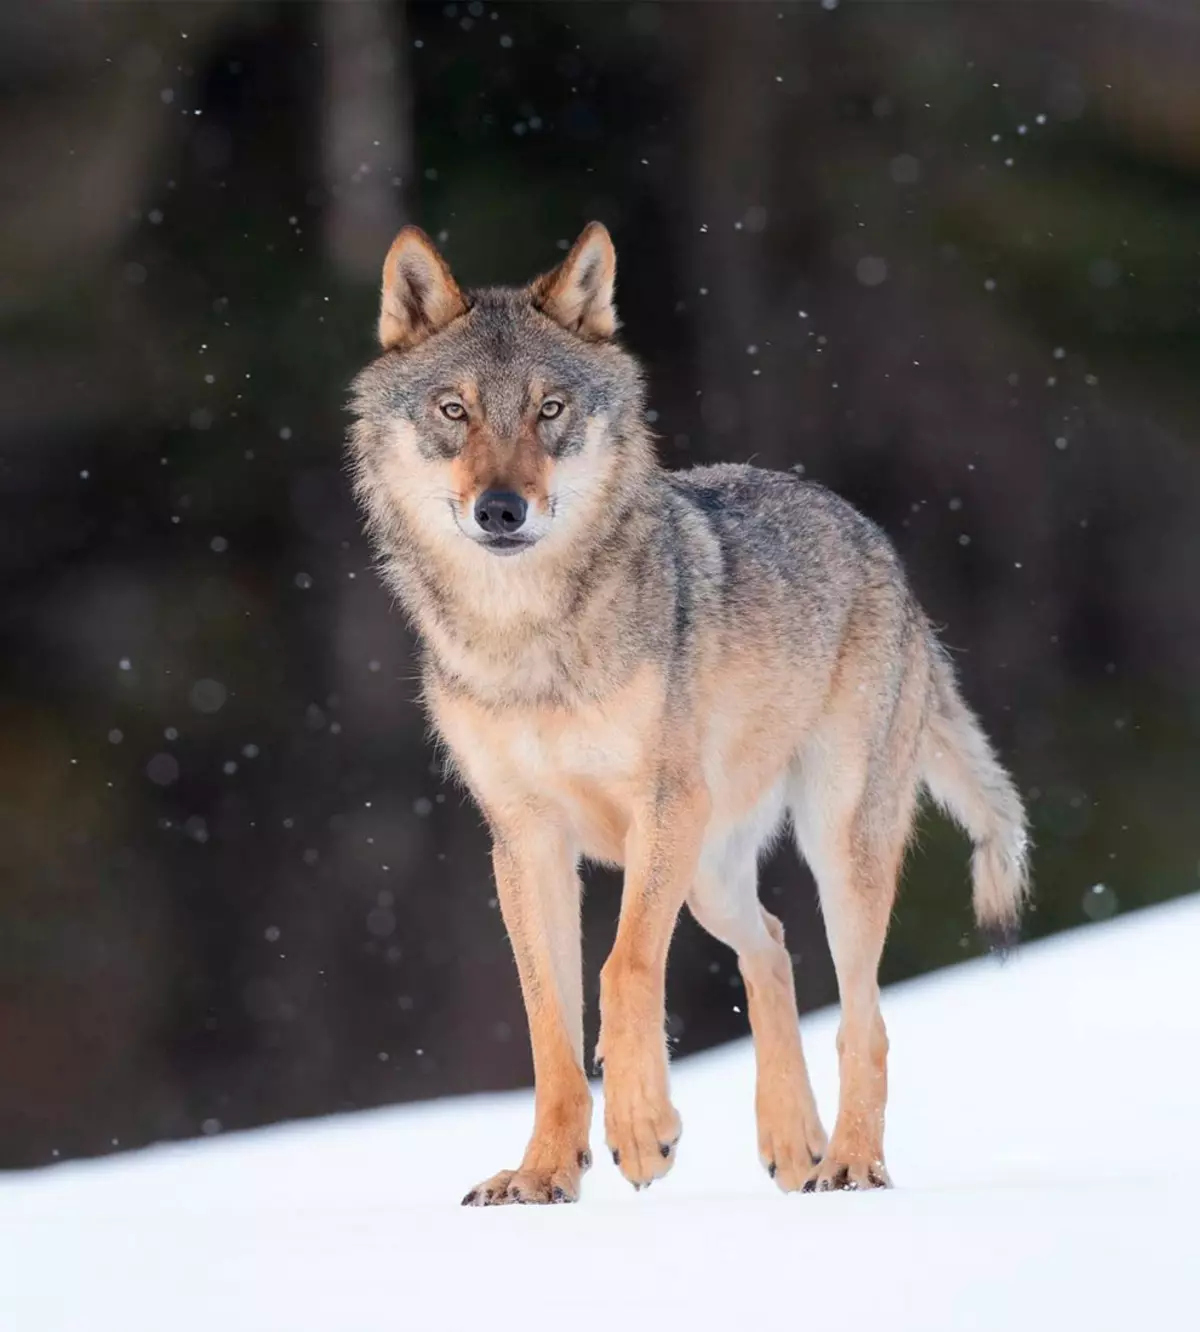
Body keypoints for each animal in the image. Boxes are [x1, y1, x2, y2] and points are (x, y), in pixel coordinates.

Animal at [346, 221, 1028, 1209]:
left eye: (550, 410)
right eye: (454, 411)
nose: (501, 509)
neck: (529, 641)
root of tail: (881, 549)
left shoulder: (660, 808)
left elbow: (624, 967)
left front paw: (641, 1130)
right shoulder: (523, 838)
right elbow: (548, 1021)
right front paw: (544, 1172)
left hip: (830, 846)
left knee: (863, 1018)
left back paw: (851, 1163)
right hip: (711, 878)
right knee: (774, 948)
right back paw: (794, 1146)